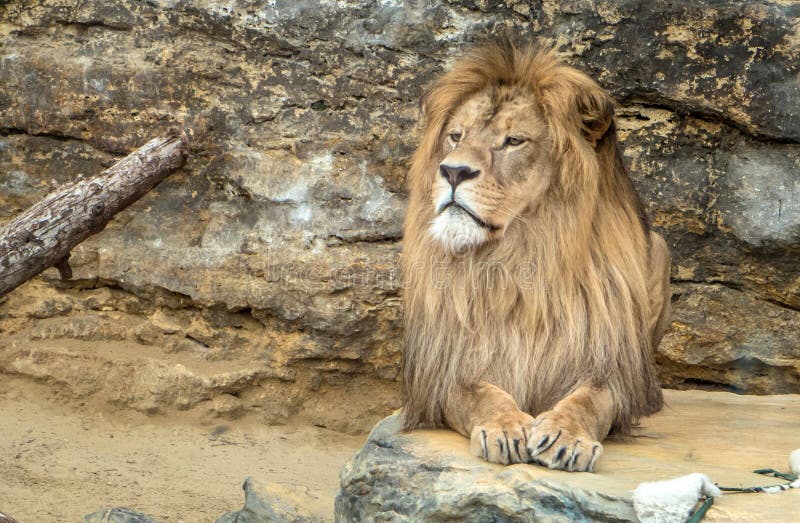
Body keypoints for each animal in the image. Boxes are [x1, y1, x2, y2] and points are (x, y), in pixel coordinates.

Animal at [400, 40, 671, 472]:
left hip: (659, 249)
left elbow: (589, 401)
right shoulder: (444, 372)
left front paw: (566, 436)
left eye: (513, 141)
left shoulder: (607, 369)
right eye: (455, 137)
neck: (518, 259)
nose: (453, 172)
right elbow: (480, 394)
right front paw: (504, 426)